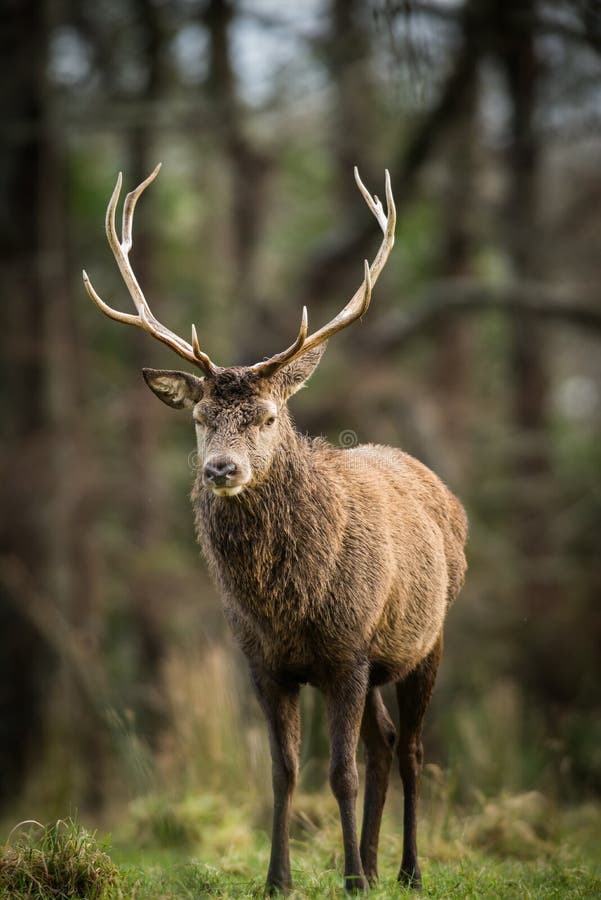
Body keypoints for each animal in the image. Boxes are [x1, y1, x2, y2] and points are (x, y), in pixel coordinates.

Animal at [83, 163, 467, 893]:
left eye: (264, 416)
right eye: (199, 416)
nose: (221, 469)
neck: (290, 603)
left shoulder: (348, 650)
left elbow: (338, 773)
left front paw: (348, 879)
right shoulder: (262, 661)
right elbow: (283, 772)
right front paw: (278, 879)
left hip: (426, 639)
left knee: (409, 749)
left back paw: (404, 870)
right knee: (382, 743)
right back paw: (375, 862)